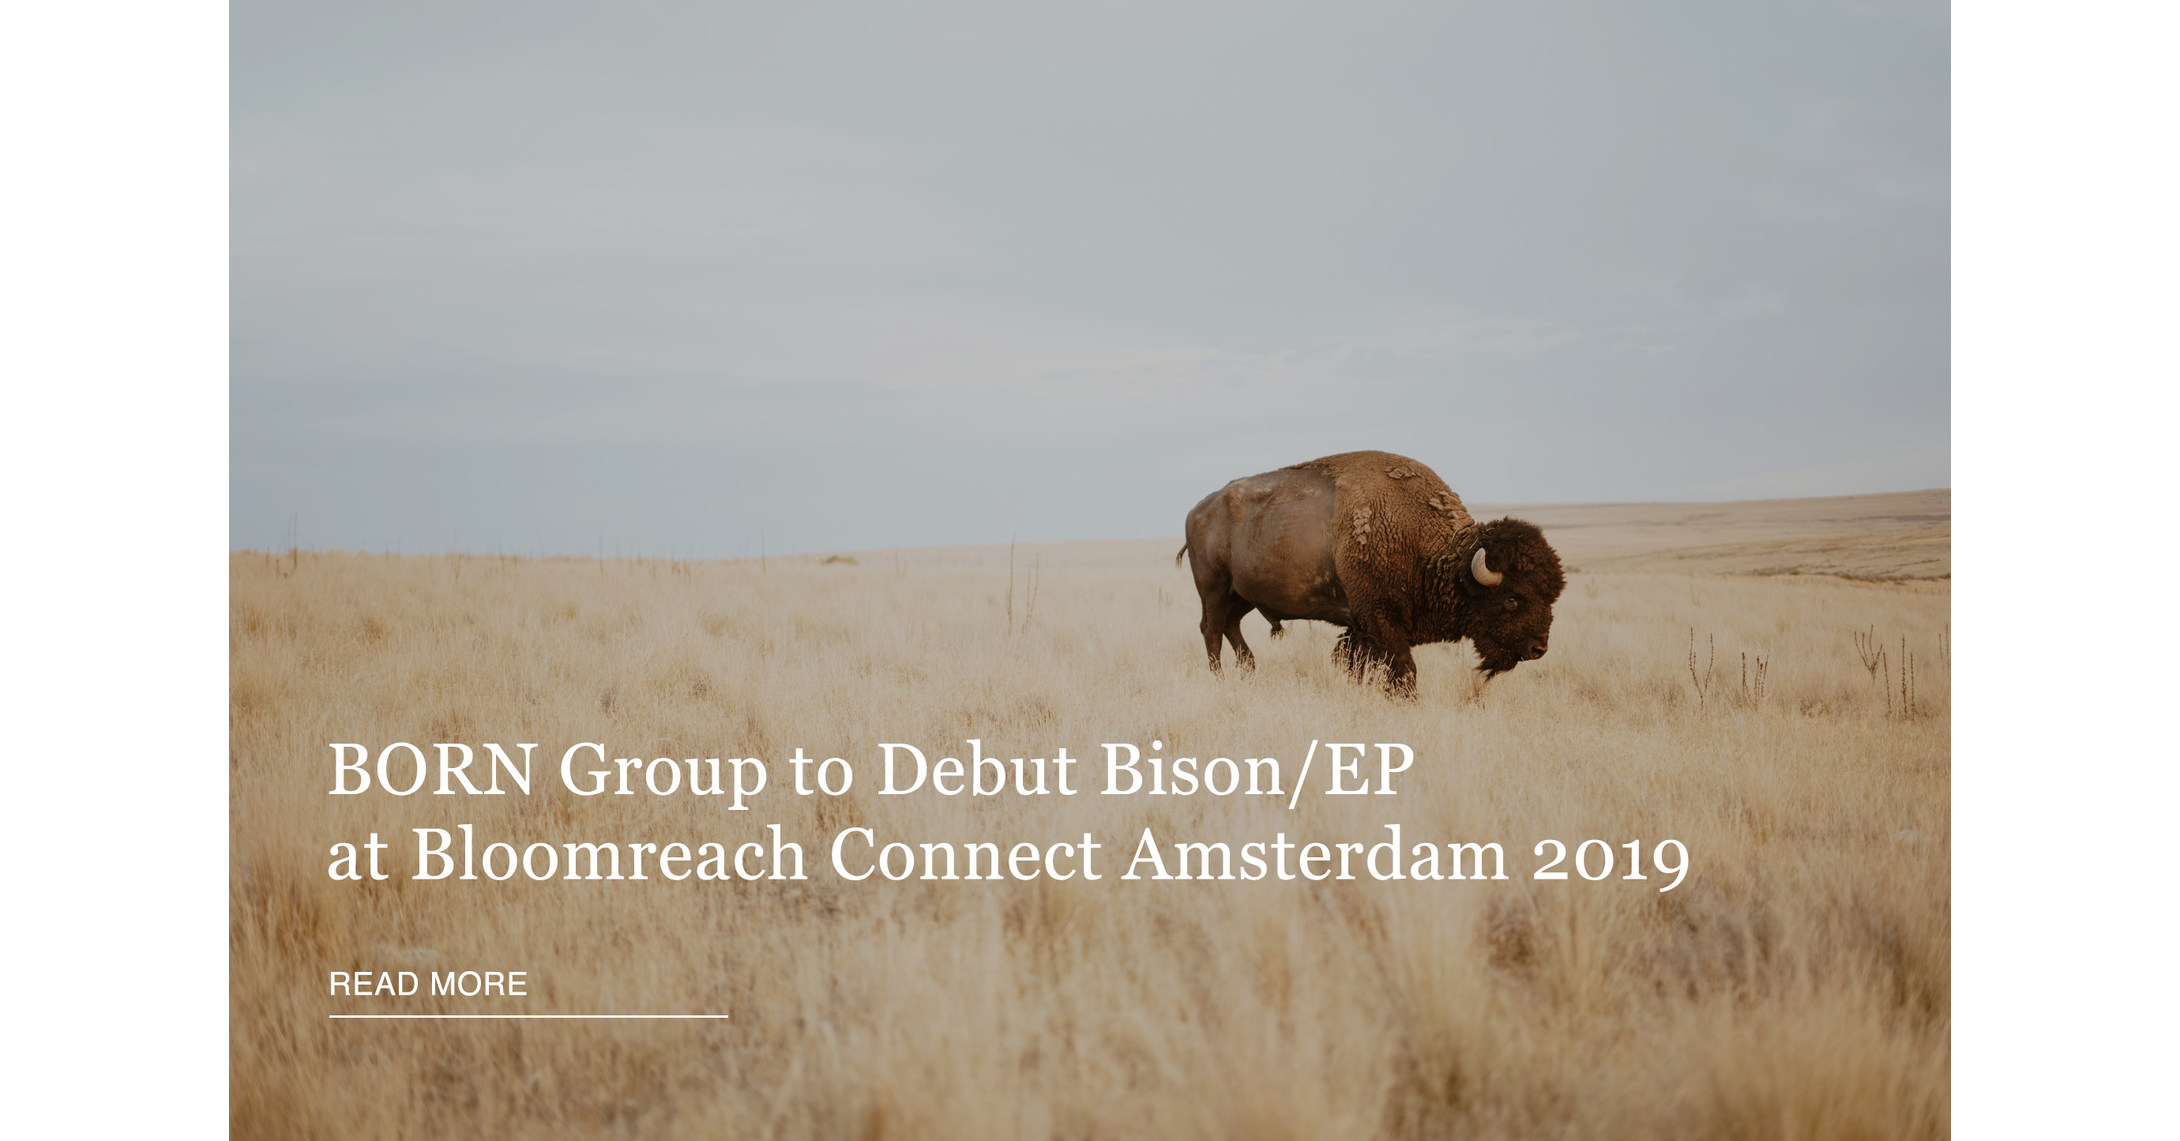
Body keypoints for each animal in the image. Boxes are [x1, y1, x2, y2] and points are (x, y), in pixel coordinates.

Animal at [1177, 450, 1564, 695]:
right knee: (1212, 630)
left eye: (1551, 597)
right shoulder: (1380, 619)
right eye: (1512, 598)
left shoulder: (1362, 627)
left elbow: (1357, 664)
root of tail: (1197, 510)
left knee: (1231, 626)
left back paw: (1249, 671)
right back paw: (1220, 679)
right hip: (1214, 588)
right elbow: (1403, 670)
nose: (1538, 648)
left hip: (1243, 595)